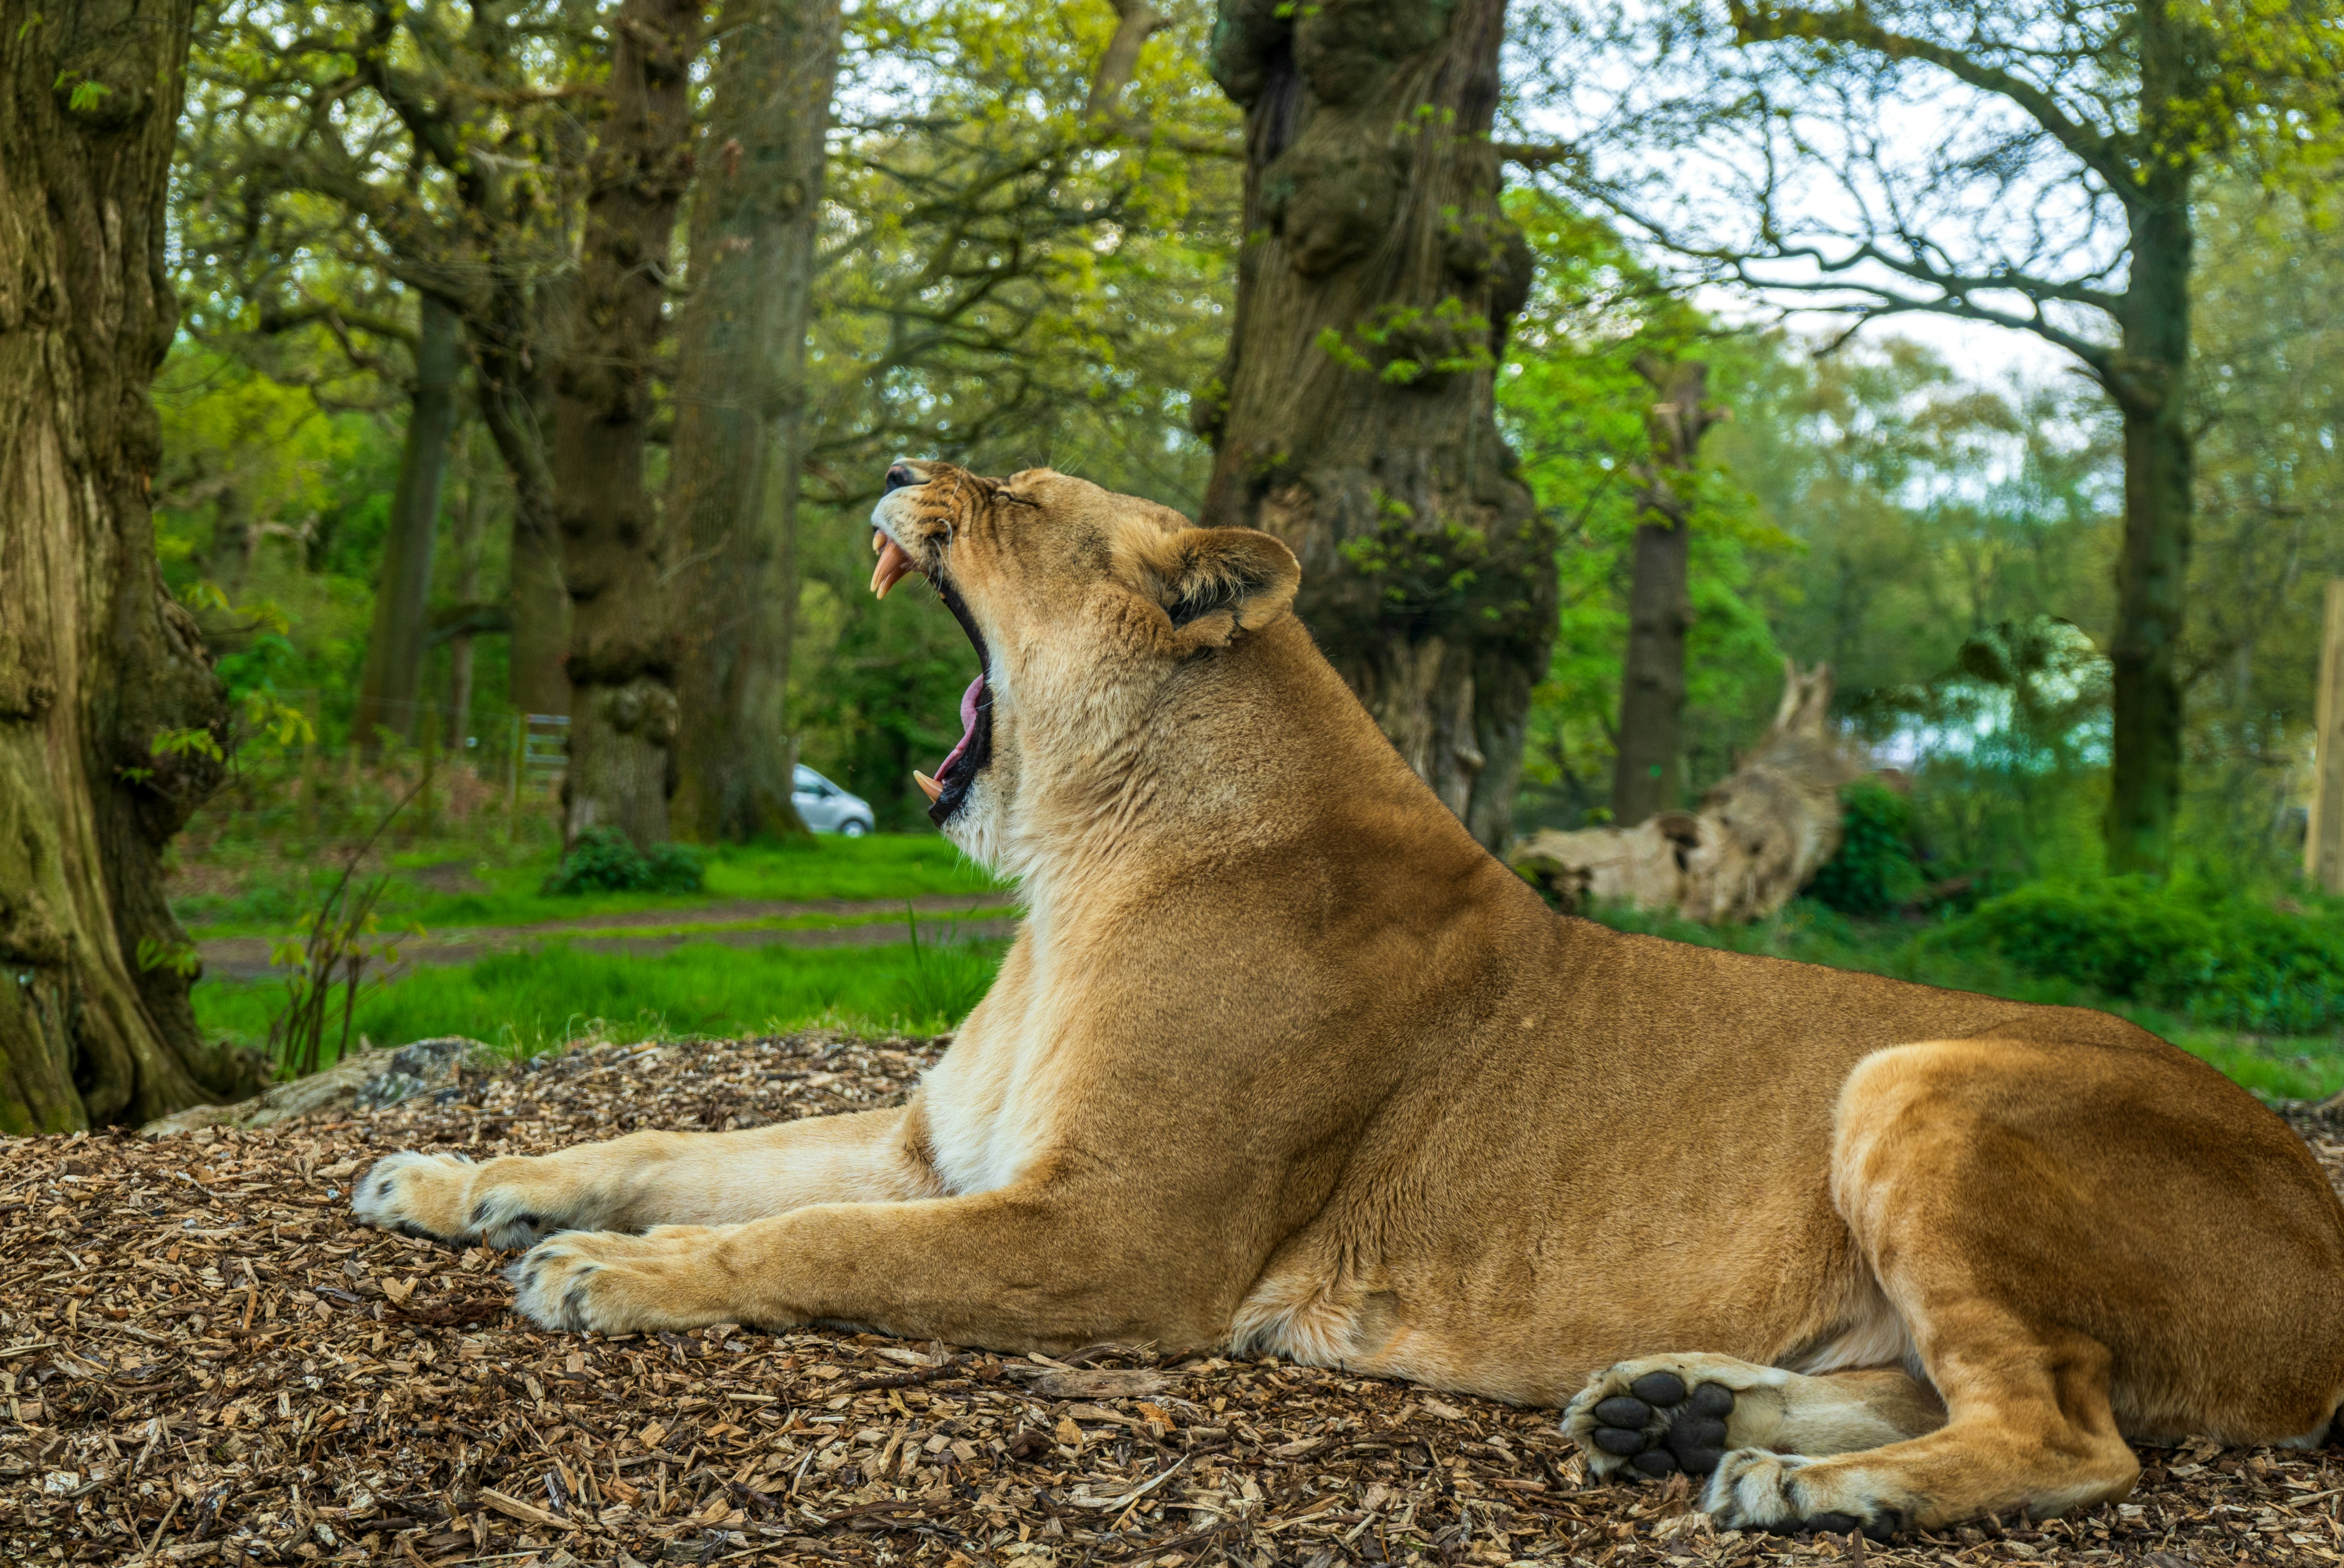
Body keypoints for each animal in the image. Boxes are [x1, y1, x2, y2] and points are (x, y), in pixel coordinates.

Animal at [355, 461, 2344, 1538]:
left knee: (2072, 1424)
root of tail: (2316, 1199)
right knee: (1955, 1374)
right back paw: (1681, 1413)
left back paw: (1798, 1486)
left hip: (1916, 1071)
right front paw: (457, 1182)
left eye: (1017, 500)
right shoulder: (941, 1148)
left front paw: (609, 1277)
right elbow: (673, 1140)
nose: (914, 454)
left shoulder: (1118, 1237)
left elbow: (807, 1242)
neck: (1073, 866)